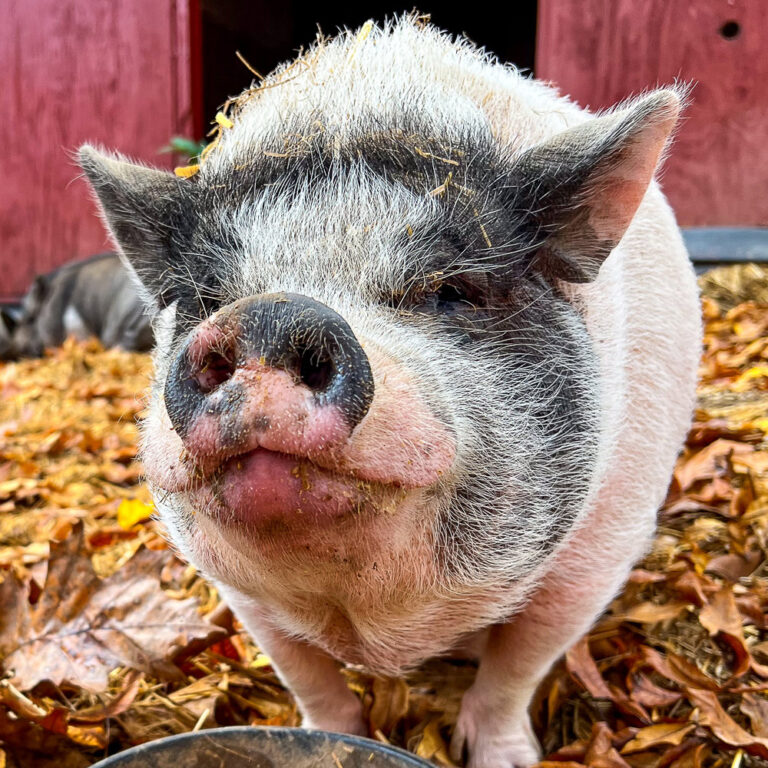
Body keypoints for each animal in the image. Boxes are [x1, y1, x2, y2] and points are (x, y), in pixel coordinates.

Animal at [78, 17, 701, 767]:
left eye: (452, 290)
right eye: (209, 298)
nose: (270, 315)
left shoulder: (600, 550)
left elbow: (518, 665)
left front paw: (505, 756)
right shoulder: (242, 598)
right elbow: (307, 676)